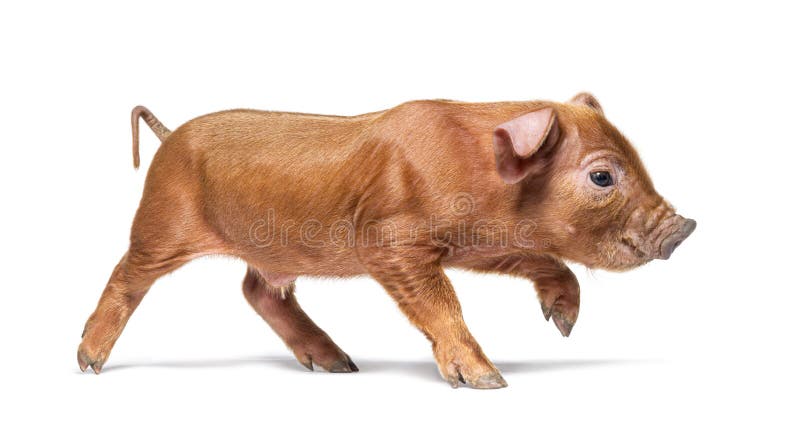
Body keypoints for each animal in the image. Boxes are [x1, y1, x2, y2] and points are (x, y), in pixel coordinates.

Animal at [78, 93, 695, 388]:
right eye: (602, 176)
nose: (685, 228)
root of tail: (169, 137)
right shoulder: (388, 240)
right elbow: (443, 305)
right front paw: (489, 382)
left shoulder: (478, 242)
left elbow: (542, 259)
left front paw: (562, 325)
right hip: (162, 224)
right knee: (125, 276)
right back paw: (88, 363)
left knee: (259, 291)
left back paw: (339, 366)